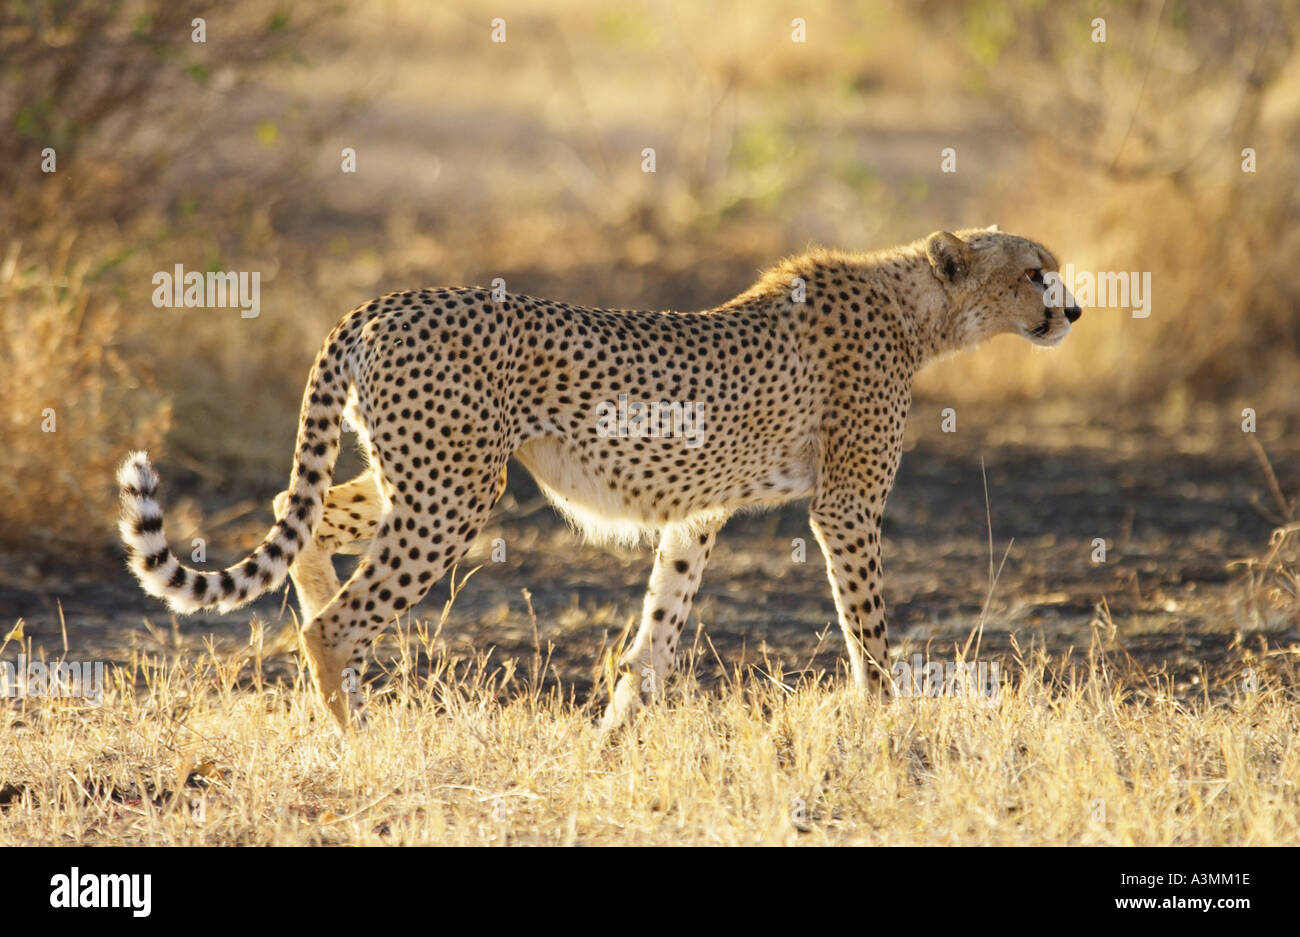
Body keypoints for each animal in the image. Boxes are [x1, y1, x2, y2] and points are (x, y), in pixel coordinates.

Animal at [118, 226, 1081, 730]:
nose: (1072, 308)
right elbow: (869, 632)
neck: (920, 308)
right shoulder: (845, 507)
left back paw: (337, 662)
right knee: (334, 619)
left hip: (419, 477)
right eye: (1035, 270)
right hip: (454, 491)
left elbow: (654, 636)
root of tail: (381, 302)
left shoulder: (698, 514)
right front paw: (883, 726)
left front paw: (615, 736)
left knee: (302, 515)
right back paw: (354, 734)